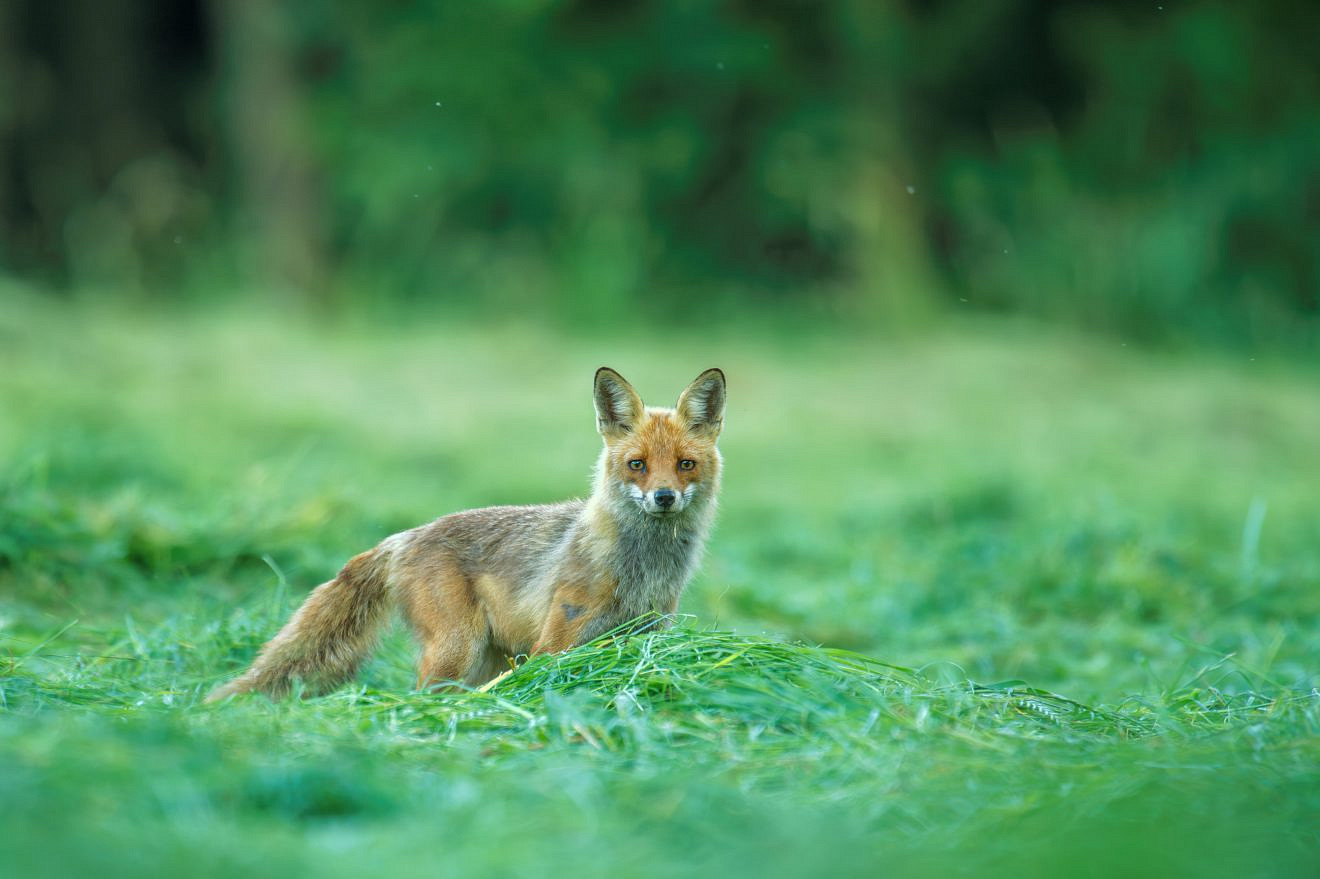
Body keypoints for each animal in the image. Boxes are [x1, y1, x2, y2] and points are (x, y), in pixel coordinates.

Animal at [206, 366, 725, 702]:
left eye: (685, 464)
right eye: (637, 464)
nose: (663, 497)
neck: (640, 568)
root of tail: (406, 536)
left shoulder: (647, 635)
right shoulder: (555, 643)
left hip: (485, 660)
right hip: (457, 650)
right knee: (419, 697)